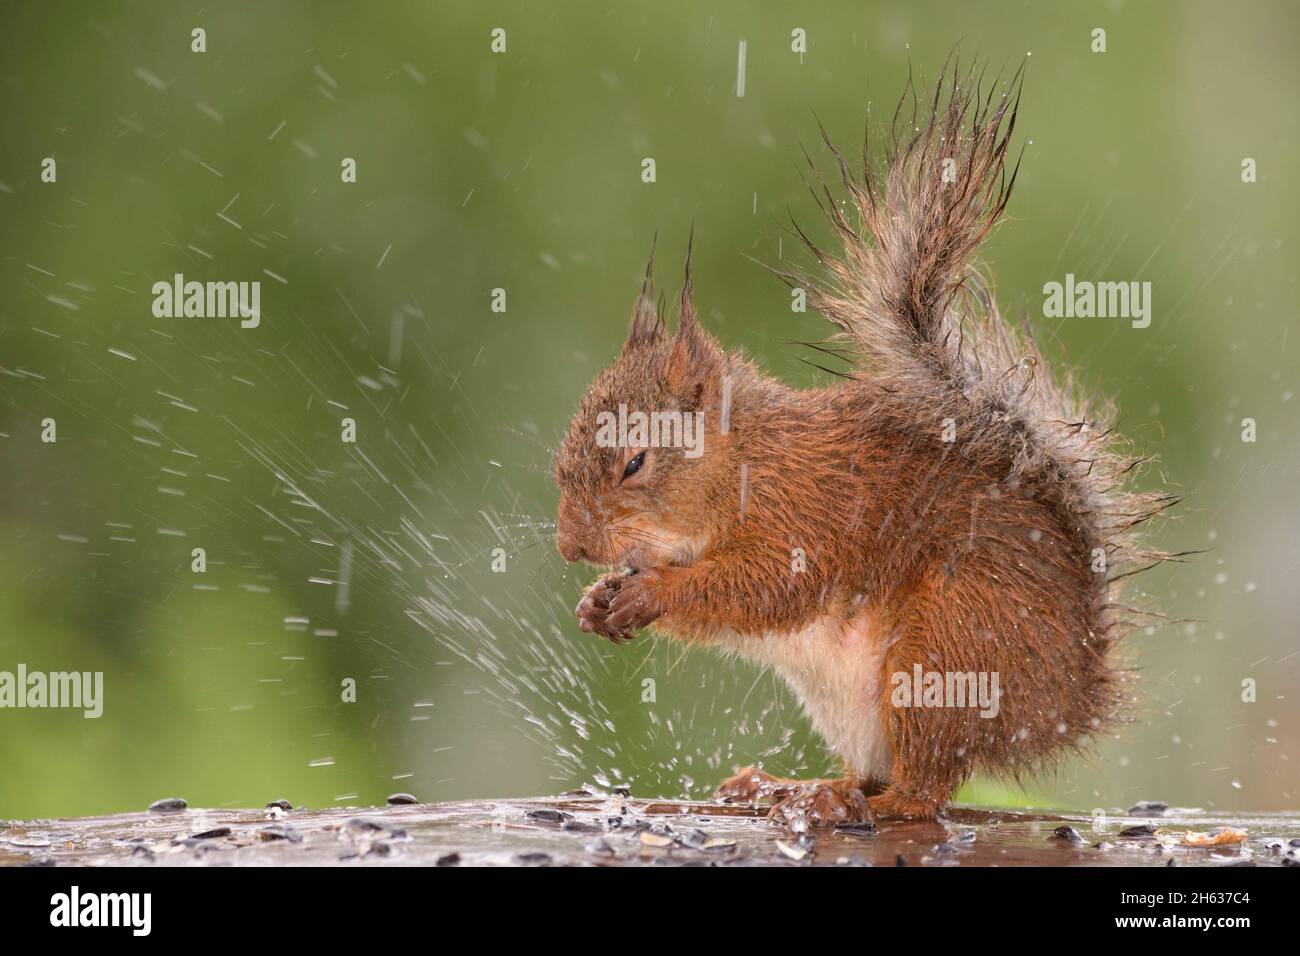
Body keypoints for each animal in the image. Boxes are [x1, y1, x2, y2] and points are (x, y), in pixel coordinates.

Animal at [553, 66, 1169, 824]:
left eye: (635, 462)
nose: (571, 547)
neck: (744, 466)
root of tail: (1068, 701)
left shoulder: (806, 516)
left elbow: (762, 587)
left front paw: (651, 594)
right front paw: (598, 599)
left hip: (946, 650)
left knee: (925, 788)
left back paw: (862, 802)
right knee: (876, 771)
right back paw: (792, 786)